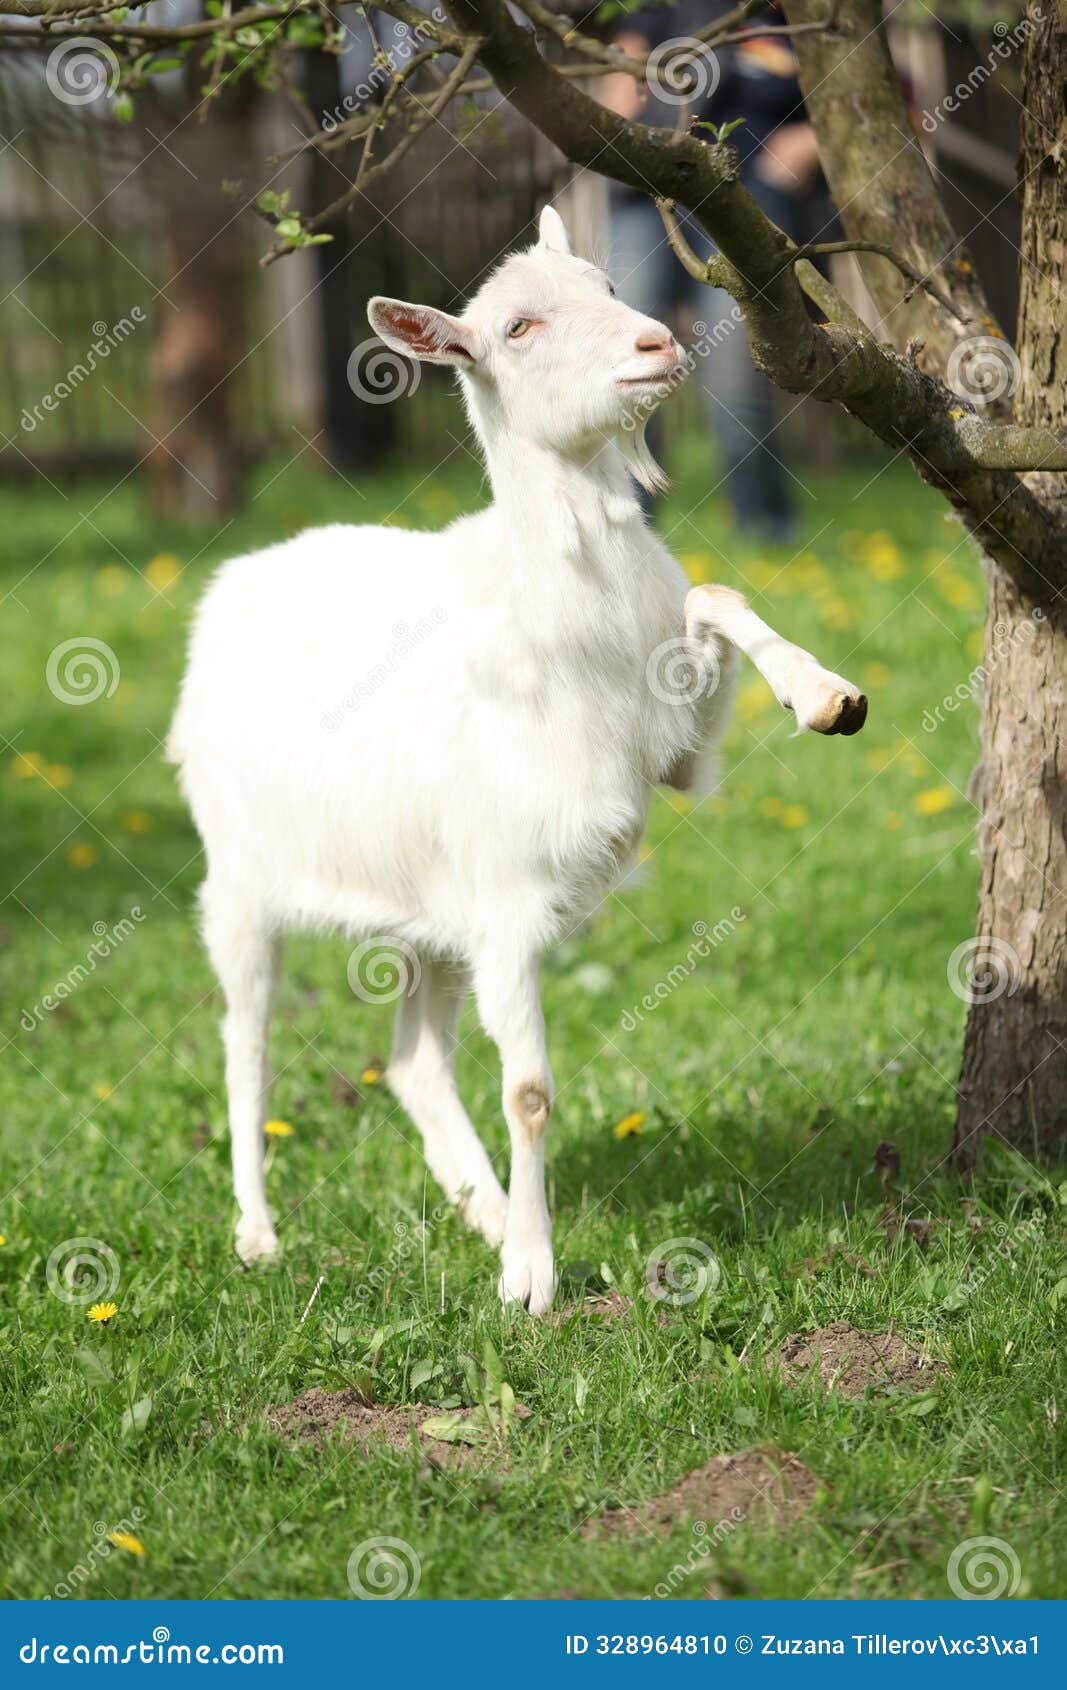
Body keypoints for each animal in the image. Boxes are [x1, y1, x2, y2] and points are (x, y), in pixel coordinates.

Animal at [169, 207, 867, 1314]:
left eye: (603, 283)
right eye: (519, 326)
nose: (657, 344)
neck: (563, 631)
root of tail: (234, 582)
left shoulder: (660, 758)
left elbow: (712, 596)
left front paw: (824, 695)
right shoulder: (506, 901)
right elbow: (530, 1091)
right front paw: (533, 1280)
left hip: (425, 908)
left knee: (411, 1061)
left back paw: (482, 1211)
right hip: (240, 879)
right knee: (248, 1049)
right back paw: (259, 1234)